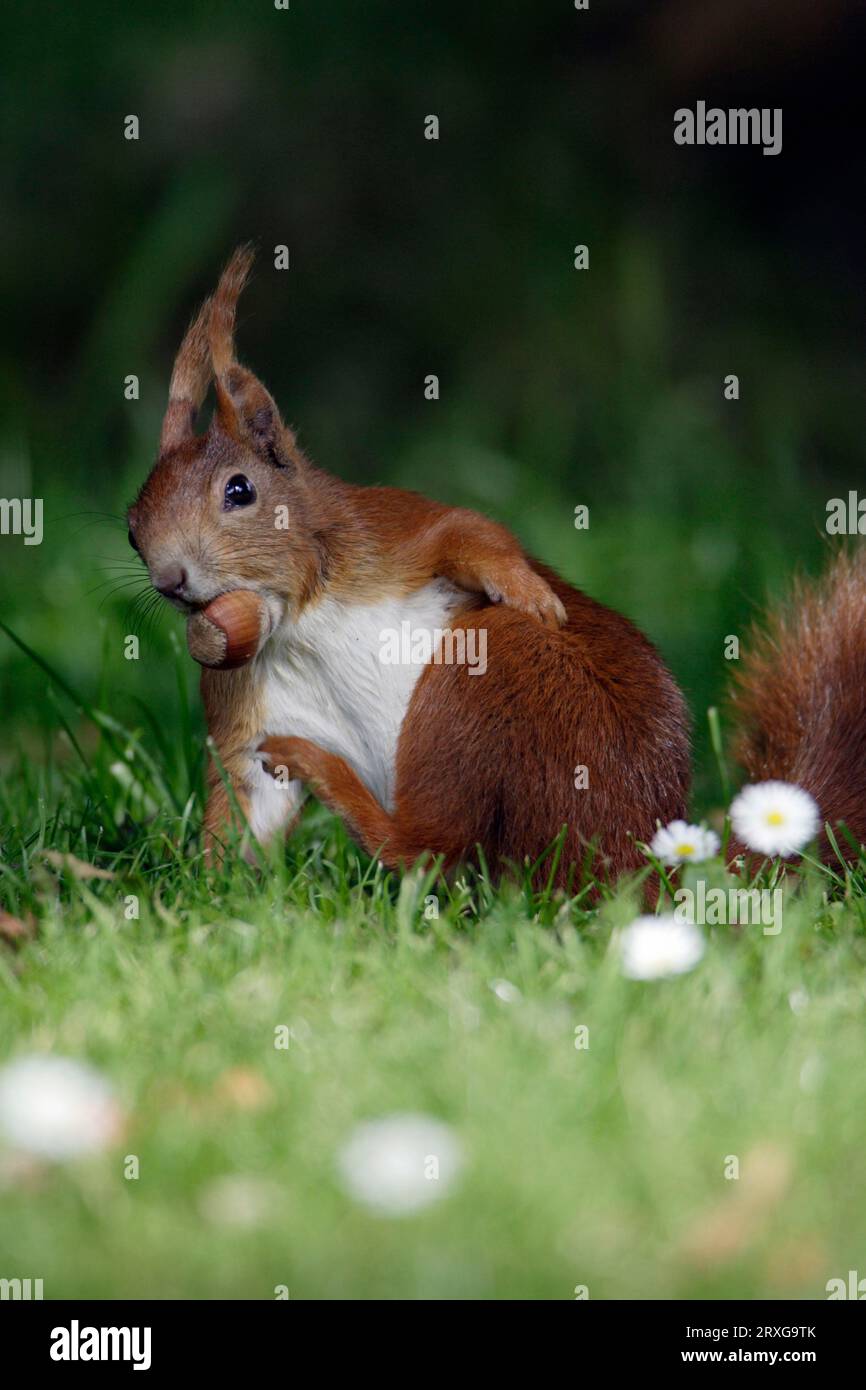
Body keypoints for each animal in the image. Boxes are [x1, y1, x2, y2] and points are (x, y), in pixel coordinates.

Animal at [127, 246, 865, 884]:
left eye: (240, 491)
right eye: (132, 528)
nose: (171, 580)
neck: (296, 619)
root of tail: (639, 871)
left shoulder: (388, 538)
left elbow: (469, 532)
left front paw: (528, 590)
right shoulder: (250, 702)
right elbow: (246, 800)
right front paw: (200, 893)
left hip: (487, 671)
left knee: (427, 841)